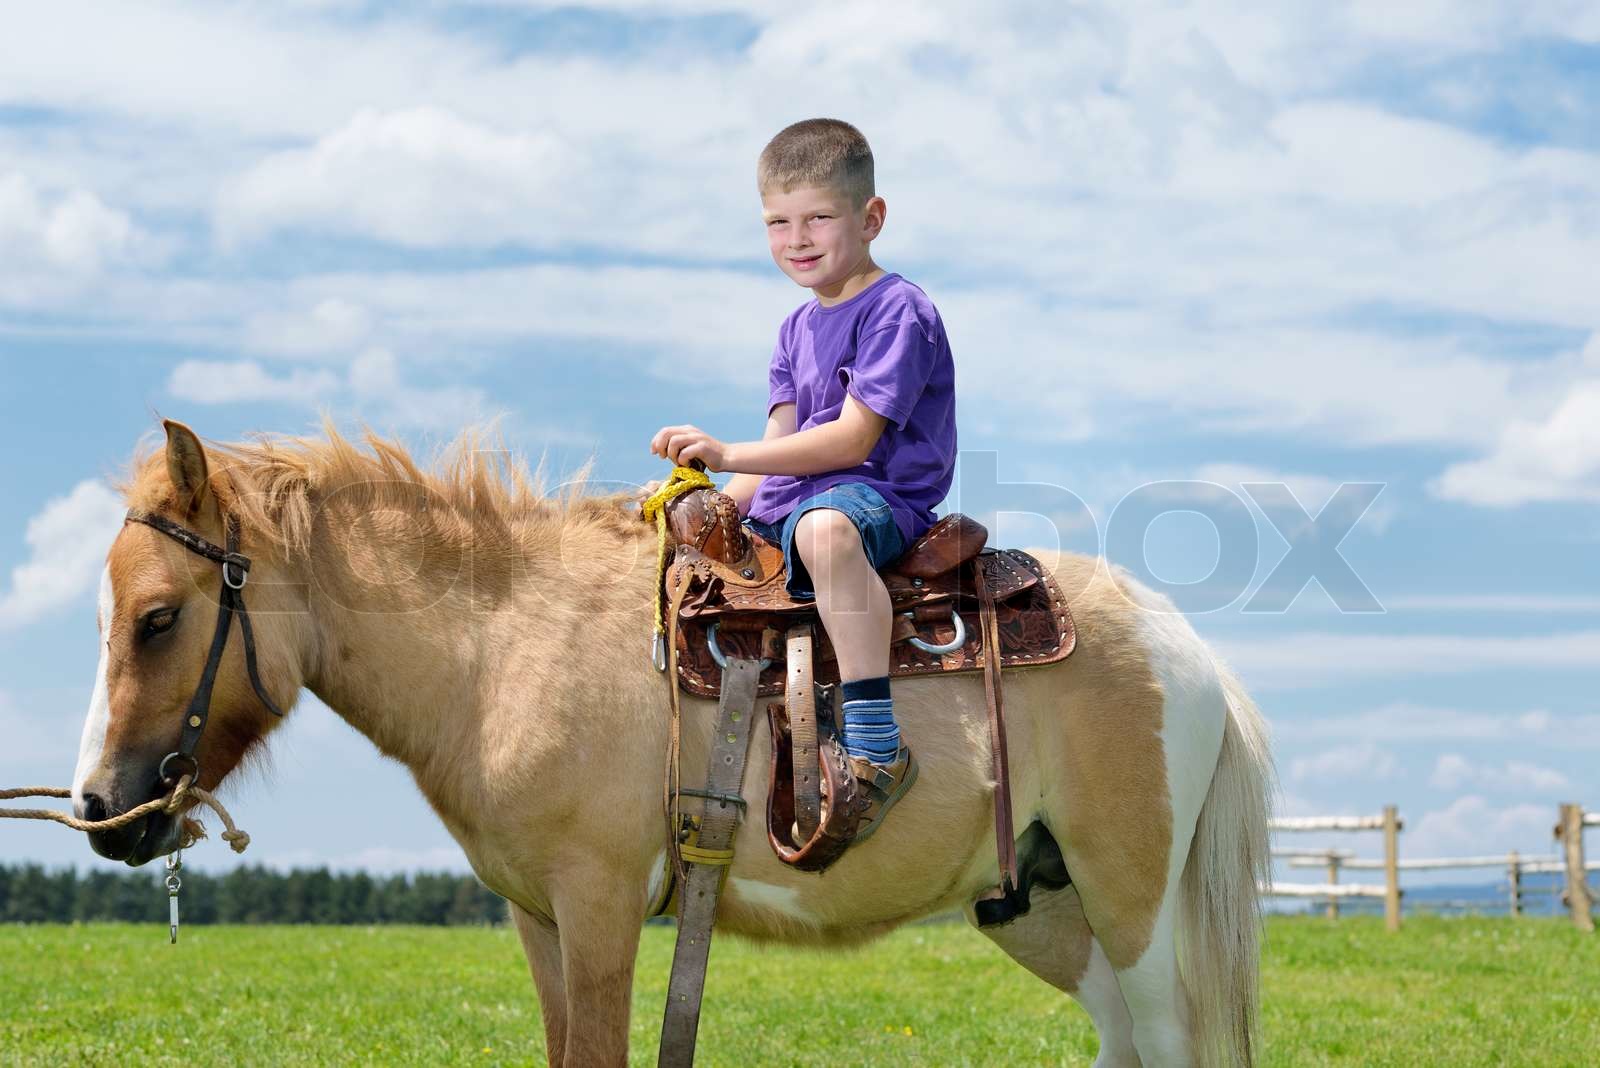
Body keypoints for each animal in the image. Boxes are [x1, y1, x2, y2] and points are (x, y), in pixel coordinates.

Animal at [70, 419, 1273, 1067]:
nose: (98, 810)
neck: (503, 642)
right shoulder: (540, 919)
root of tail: (1188, 654)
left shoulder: (601, 903)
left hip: (1130, 905)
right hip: (1043, 906)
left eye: (160, 618)